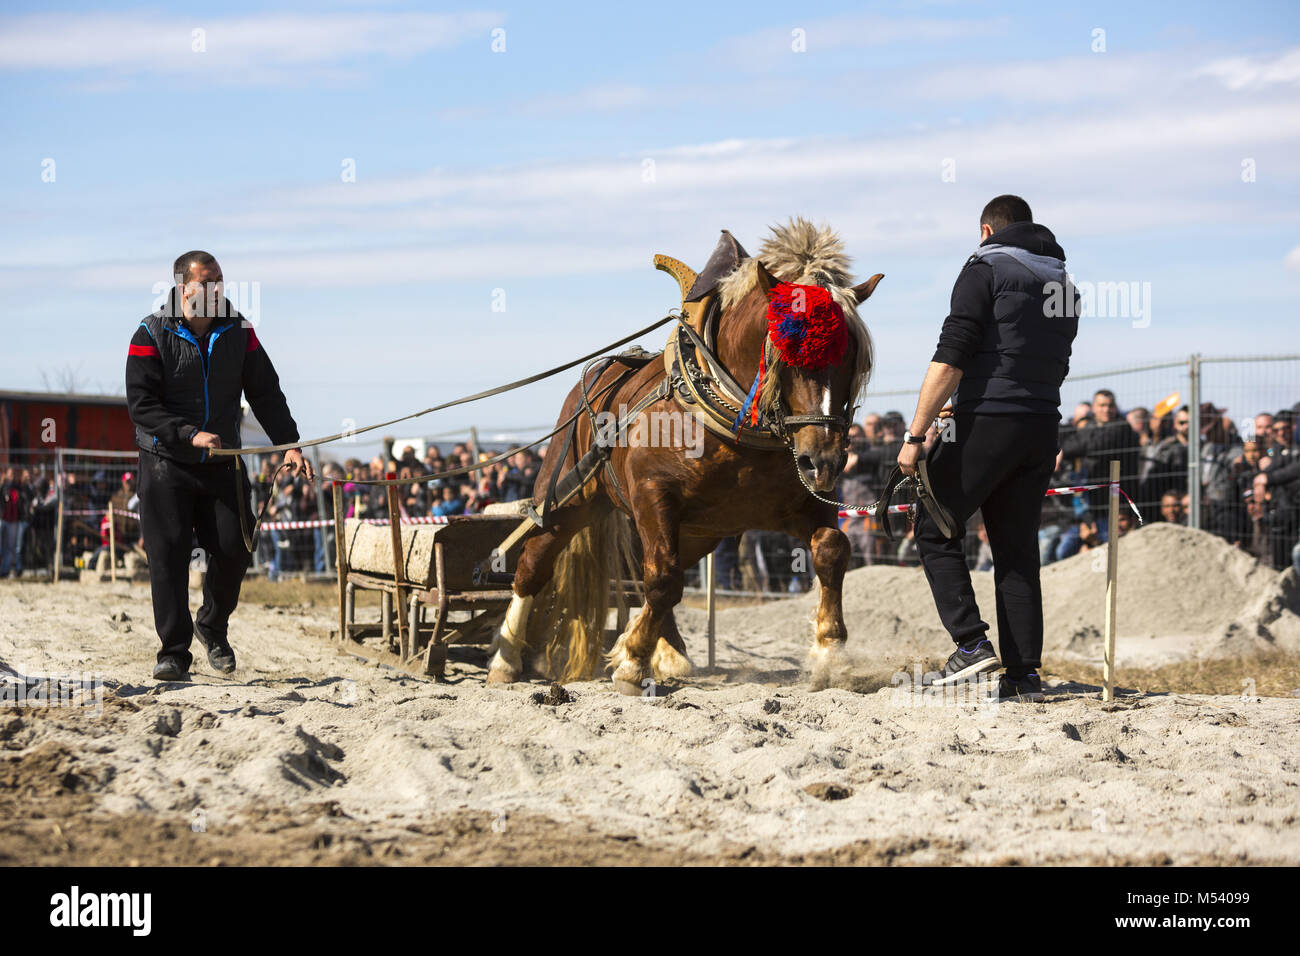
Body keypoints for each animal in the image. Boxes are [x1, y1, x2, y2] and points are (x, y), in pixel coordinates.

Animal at [487, 218, 883, 692]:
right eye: (788, 352)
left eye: (852, 360)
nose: (822, 461)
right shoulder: (653, 494)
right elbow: (662, 579)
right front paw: (632, 661)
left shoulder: (796, 504)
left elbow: (832, 549)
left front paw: (829, 654)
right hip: (569, 497)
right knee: (534, 563)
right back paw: (506, 658)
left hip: (699, 531)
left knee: (658, 572)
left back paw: (670, 652)